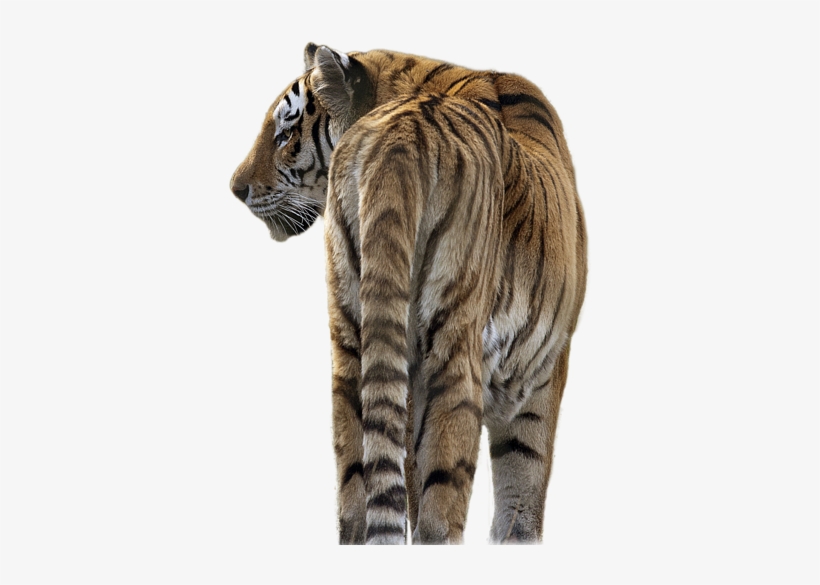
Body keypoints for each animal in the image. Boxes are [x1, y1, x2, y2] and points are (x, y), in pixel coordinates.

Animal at [230, 43, 587, 545]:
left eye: (286, 132)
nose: (236, 188)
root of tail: (402, 133)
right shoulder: (541, 375)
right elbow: (520, 496)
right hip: (450, 345)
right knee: (437, 509)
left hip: (352, 337)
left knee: (357, 494)